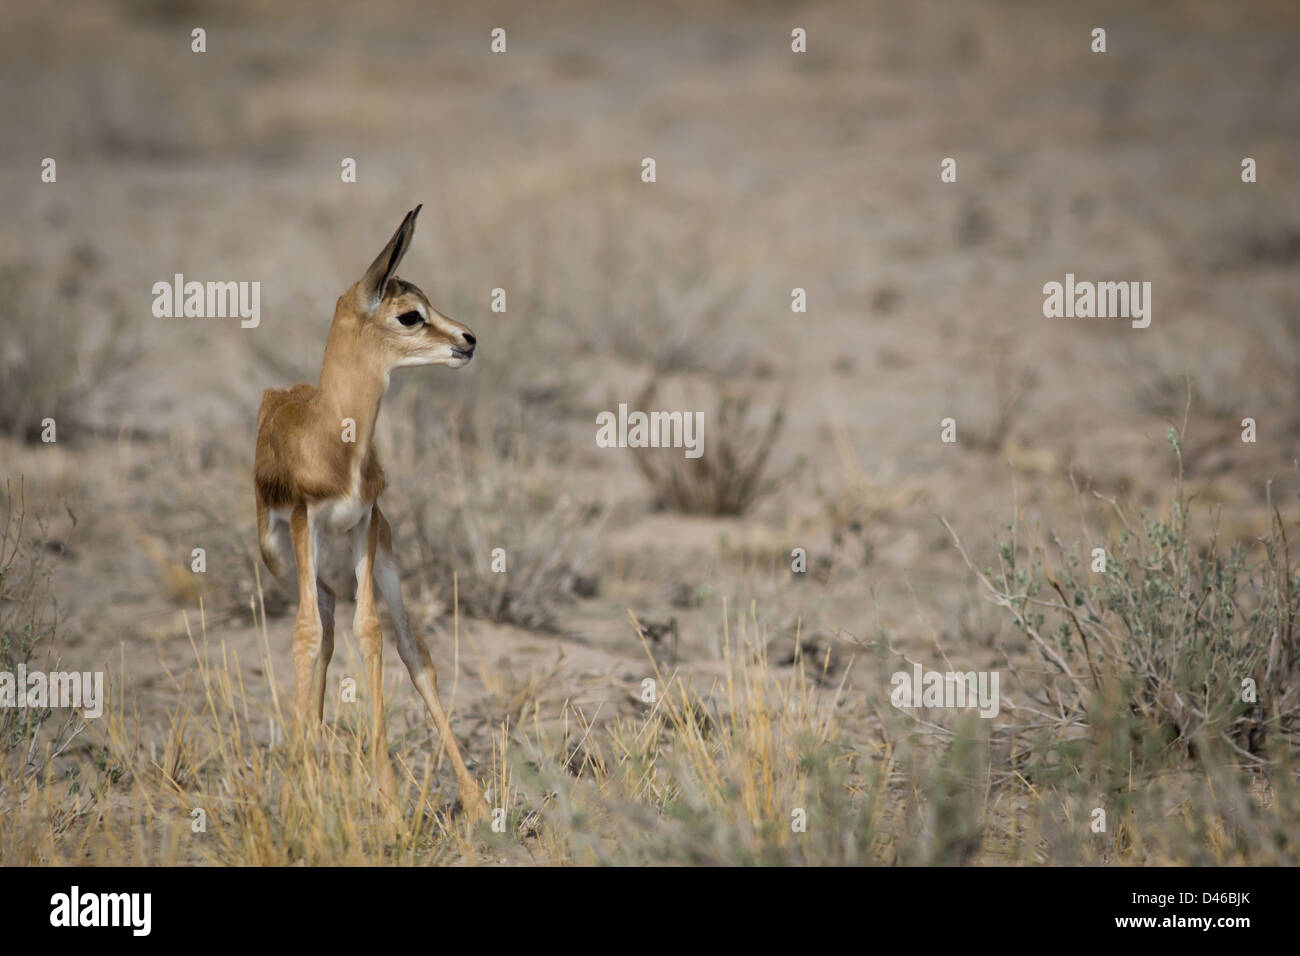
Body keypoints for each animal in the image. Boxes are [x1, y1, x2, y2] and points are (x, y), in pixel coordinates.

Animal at [253, 205, 487, 820]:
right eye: (409, 315)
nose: (468, 340)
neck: (334, 439)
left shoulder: (363, 526)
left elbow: (372, 632)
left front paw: (386, 797)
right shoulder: (307, 523)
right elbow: (306, 635)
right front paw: (301, 792)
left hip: (379, 556)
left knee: (405, 647)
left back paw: (475, 801)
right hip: (285, 558)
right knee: (321, 622)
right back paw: (307, 763)